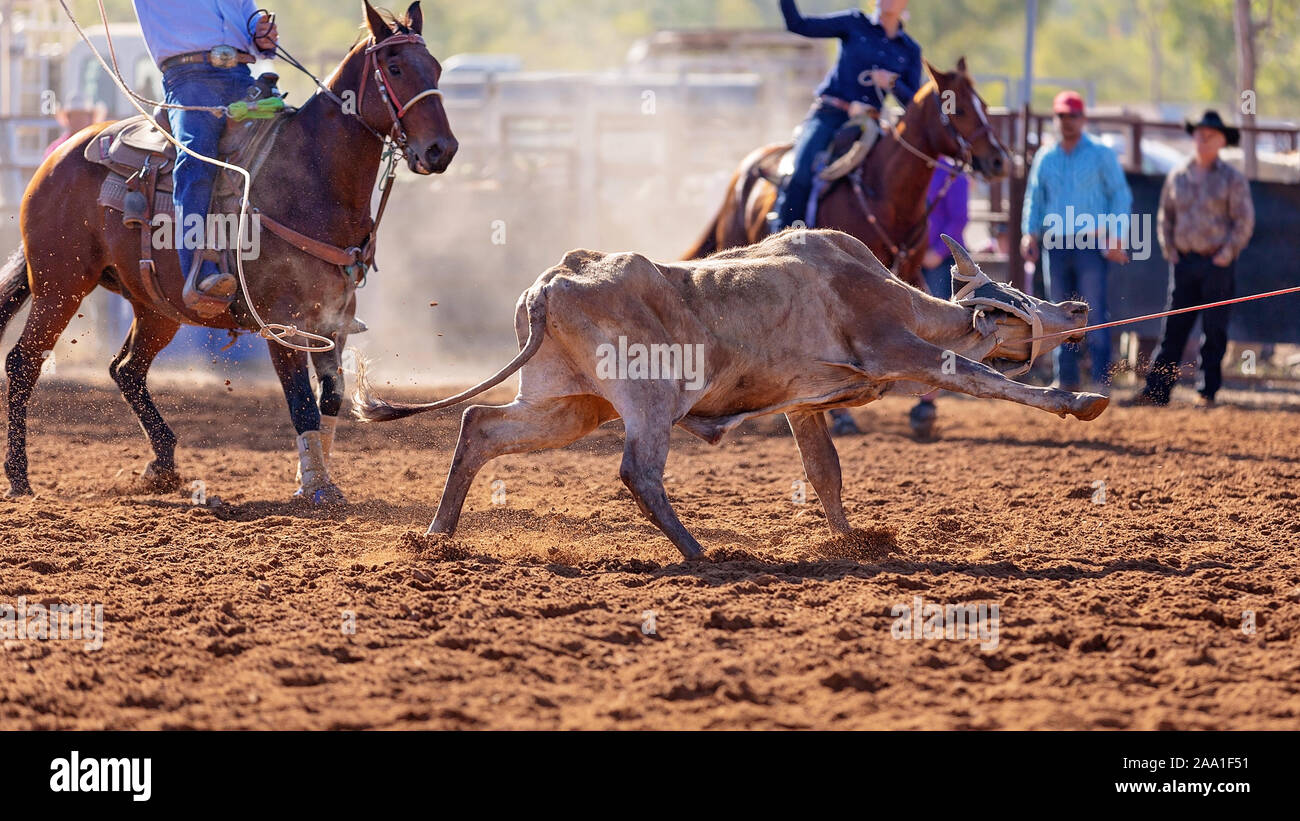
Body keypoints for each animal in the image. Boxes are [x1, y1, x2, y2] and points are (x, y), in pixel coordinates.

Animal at [353, 230, 1107, 560]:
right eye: (1019, 298)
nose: (1076, 304)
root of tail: (551, 283)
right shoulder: (901, 350)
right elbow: (987, 379)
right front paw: (1079, 402)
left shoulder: (805, 406)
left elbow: (825, 473)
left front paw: (852, 540)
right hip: (648, 398)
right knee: (637, 470)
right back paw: (699, 551)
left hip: (566, 406)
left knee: (479, 424)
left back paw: (437, 534)